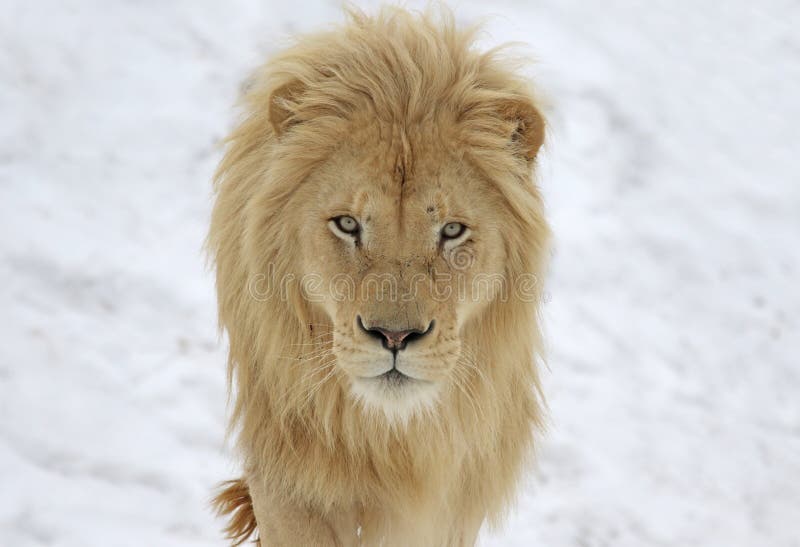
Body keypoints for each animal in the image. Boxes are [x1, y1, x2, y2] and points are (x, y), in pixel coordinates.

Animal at [208, 6, 550, 546]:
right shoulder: (288, 475)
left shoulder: (451, 508)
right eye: (348, 224)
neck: (393, 434)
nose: (394, 336)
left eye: (452, 230)